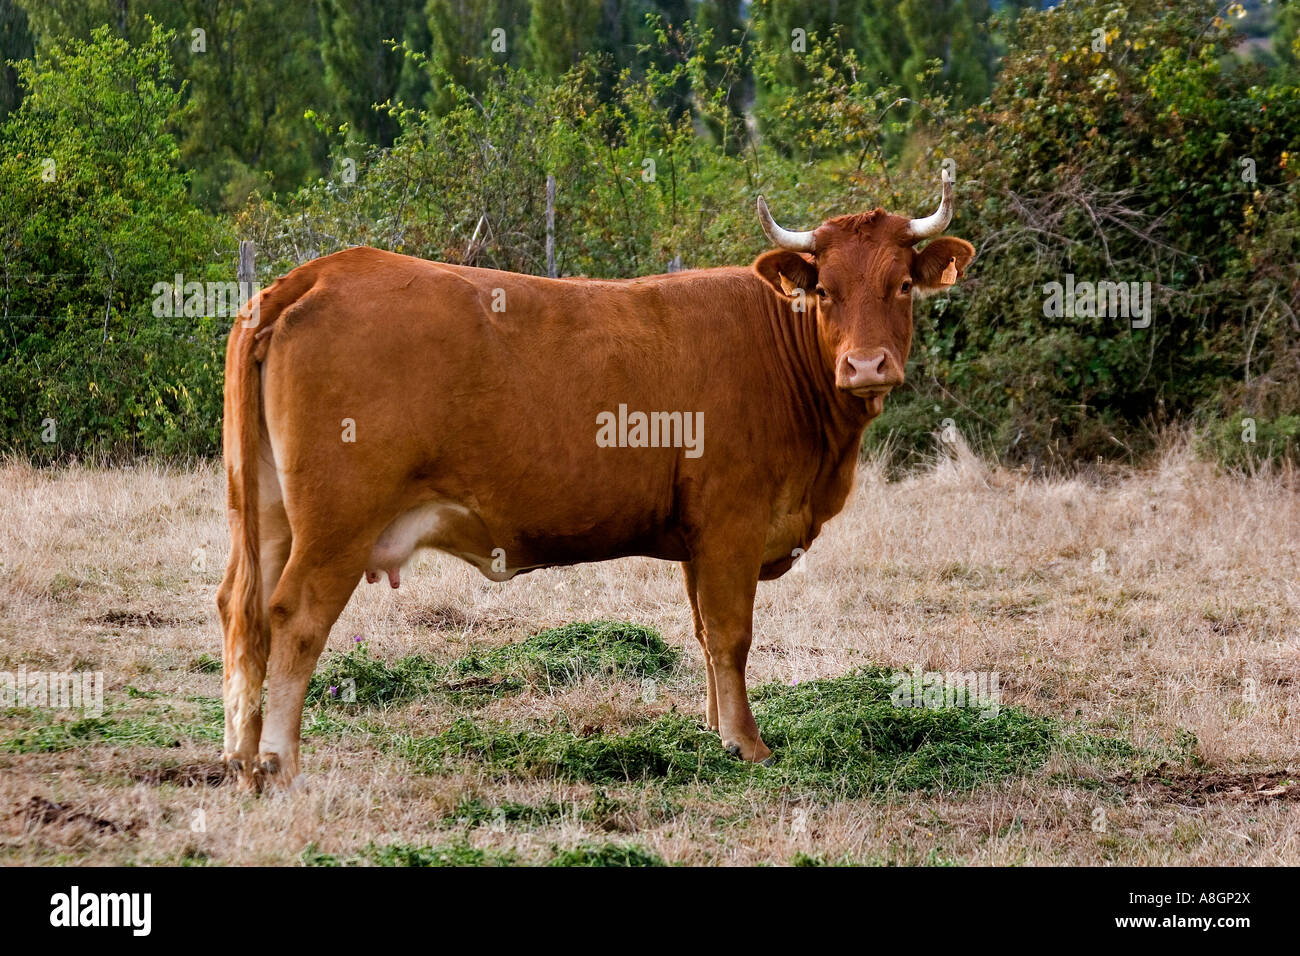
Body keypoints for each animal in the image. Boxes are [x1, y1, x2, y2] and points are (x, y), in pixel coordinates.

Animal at [216, 172, 976, 789]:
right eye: (826, 290)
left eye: (901, 284)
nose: (866, 365)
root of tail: (321, 272)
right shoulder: (732, 524)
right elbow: (732, 634)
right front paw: (747, 743)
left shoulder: (699, 539)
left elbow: (704, 634)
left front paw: (712, 730)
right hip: (338, 523)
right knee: (294, 618)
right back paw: (279, 765)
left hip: (267, 513)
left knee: (240, 613)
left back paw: (240, 758)